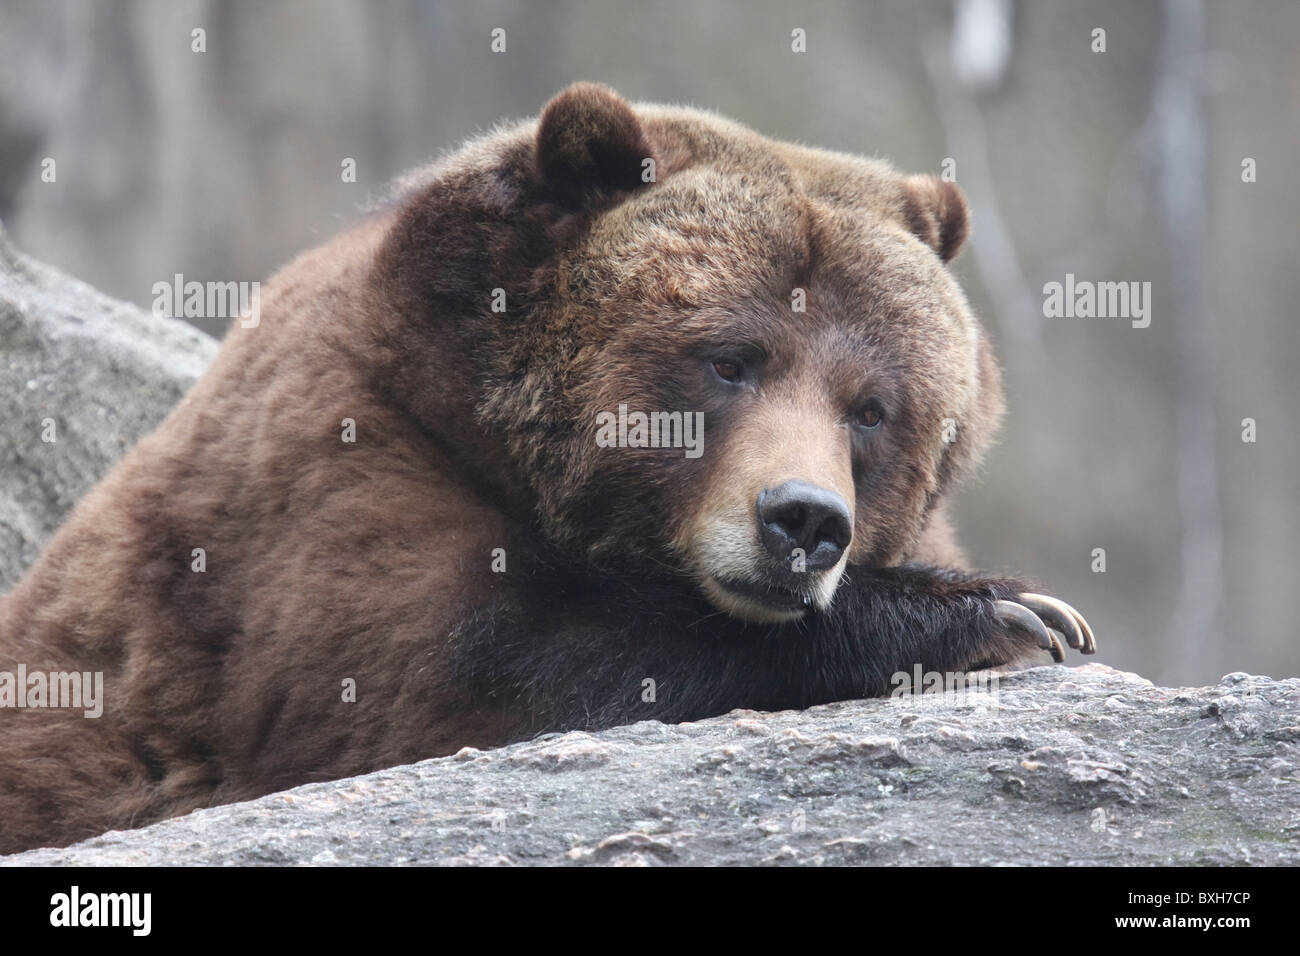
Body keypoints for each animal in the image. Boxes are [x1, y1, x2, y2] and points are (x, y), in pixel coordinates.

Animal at [0, 83, 1094, 854]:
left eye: (871, 407)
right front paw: (1000, 612)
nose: (803, 520)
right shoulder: (327, 481)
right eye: (729, 358)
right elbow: (443, 670)